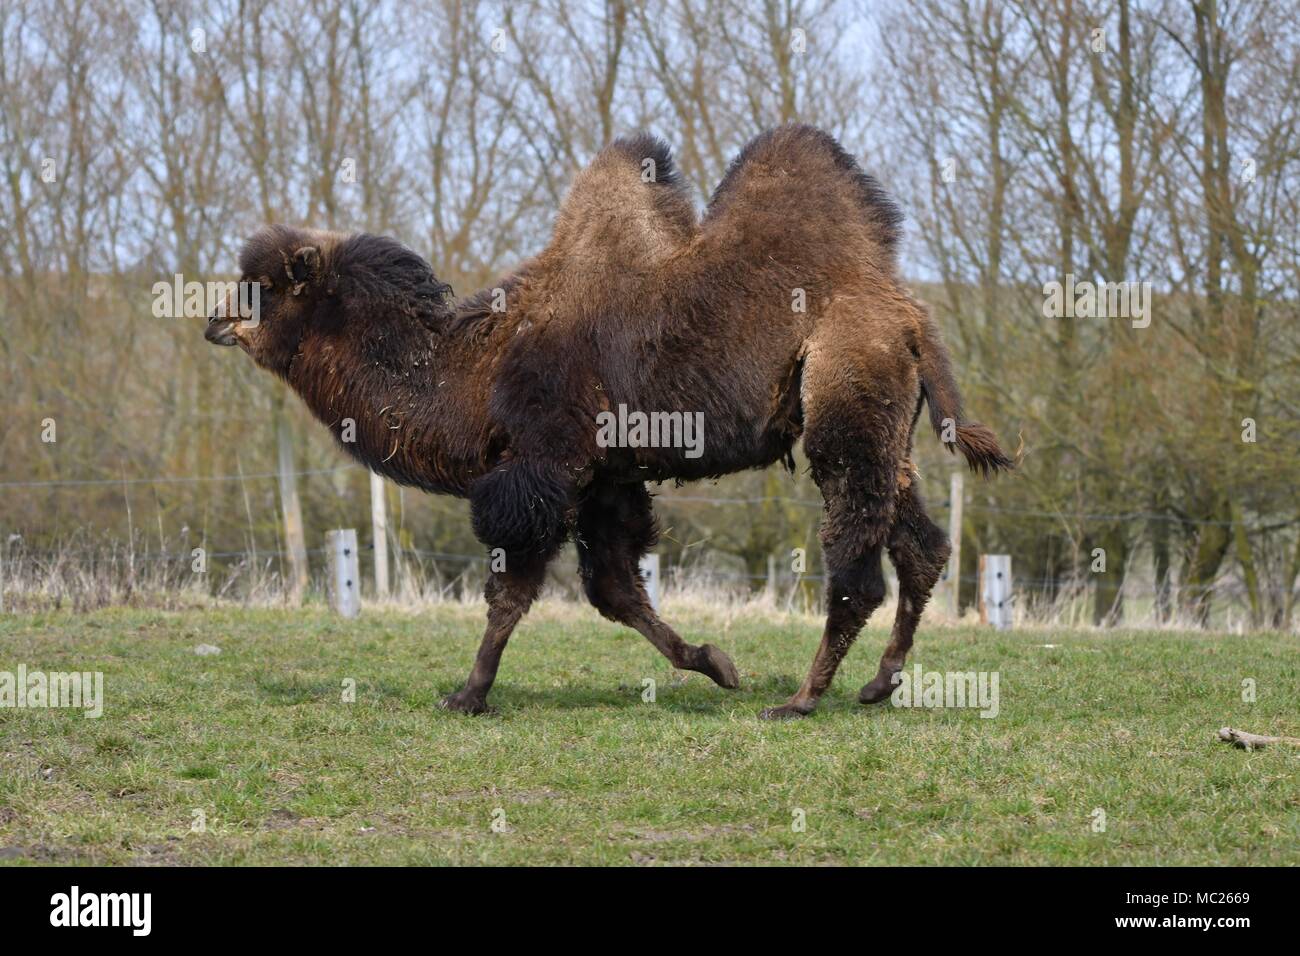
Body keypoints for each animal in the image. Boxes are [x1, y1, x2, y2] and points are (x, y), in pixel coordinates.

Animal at [205, 124, 1013, 719]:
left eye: (264, 286)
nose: (214, 320)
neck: (474, 369)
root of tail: (909, 314)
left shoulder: (542, 462)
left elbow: (513, 590)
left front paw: (468, 694)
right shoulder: (606, 477)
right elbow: (615, 591)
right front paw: (715, 663)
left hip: (844, 406)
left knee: (858, 565)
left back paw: (802, 699)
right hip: (886, 425)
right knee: (922, 546)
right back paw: (877, 683)